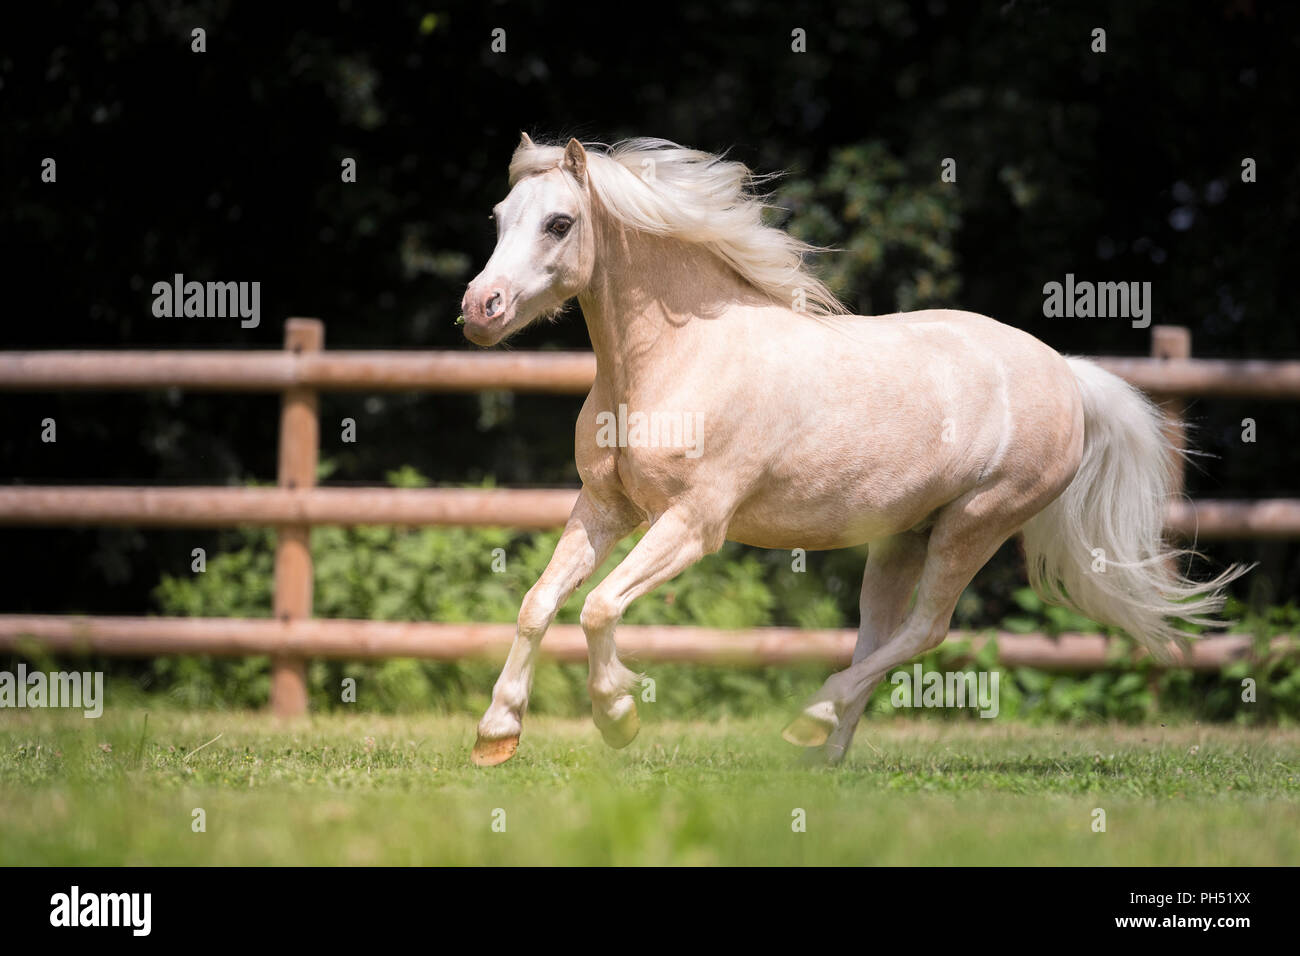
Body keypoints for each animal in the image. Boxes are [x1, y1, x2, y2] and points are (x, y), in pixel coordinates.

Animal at [459, 133, 1246, 766]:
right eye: (498, 218)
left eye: (559, 223)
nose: (479, 308)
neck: (681, 356)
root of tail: (1068, 373)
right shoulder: (605, 506)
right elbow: (538, 603)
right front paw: (497, 734)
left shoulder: (692, 524)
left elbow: (597, 608)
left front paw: (617, 715)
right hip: (903, 537)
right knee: (878, 636)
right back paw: (824, 750)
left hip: (977, 524)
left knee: (925, 631)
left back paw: (811, 720)